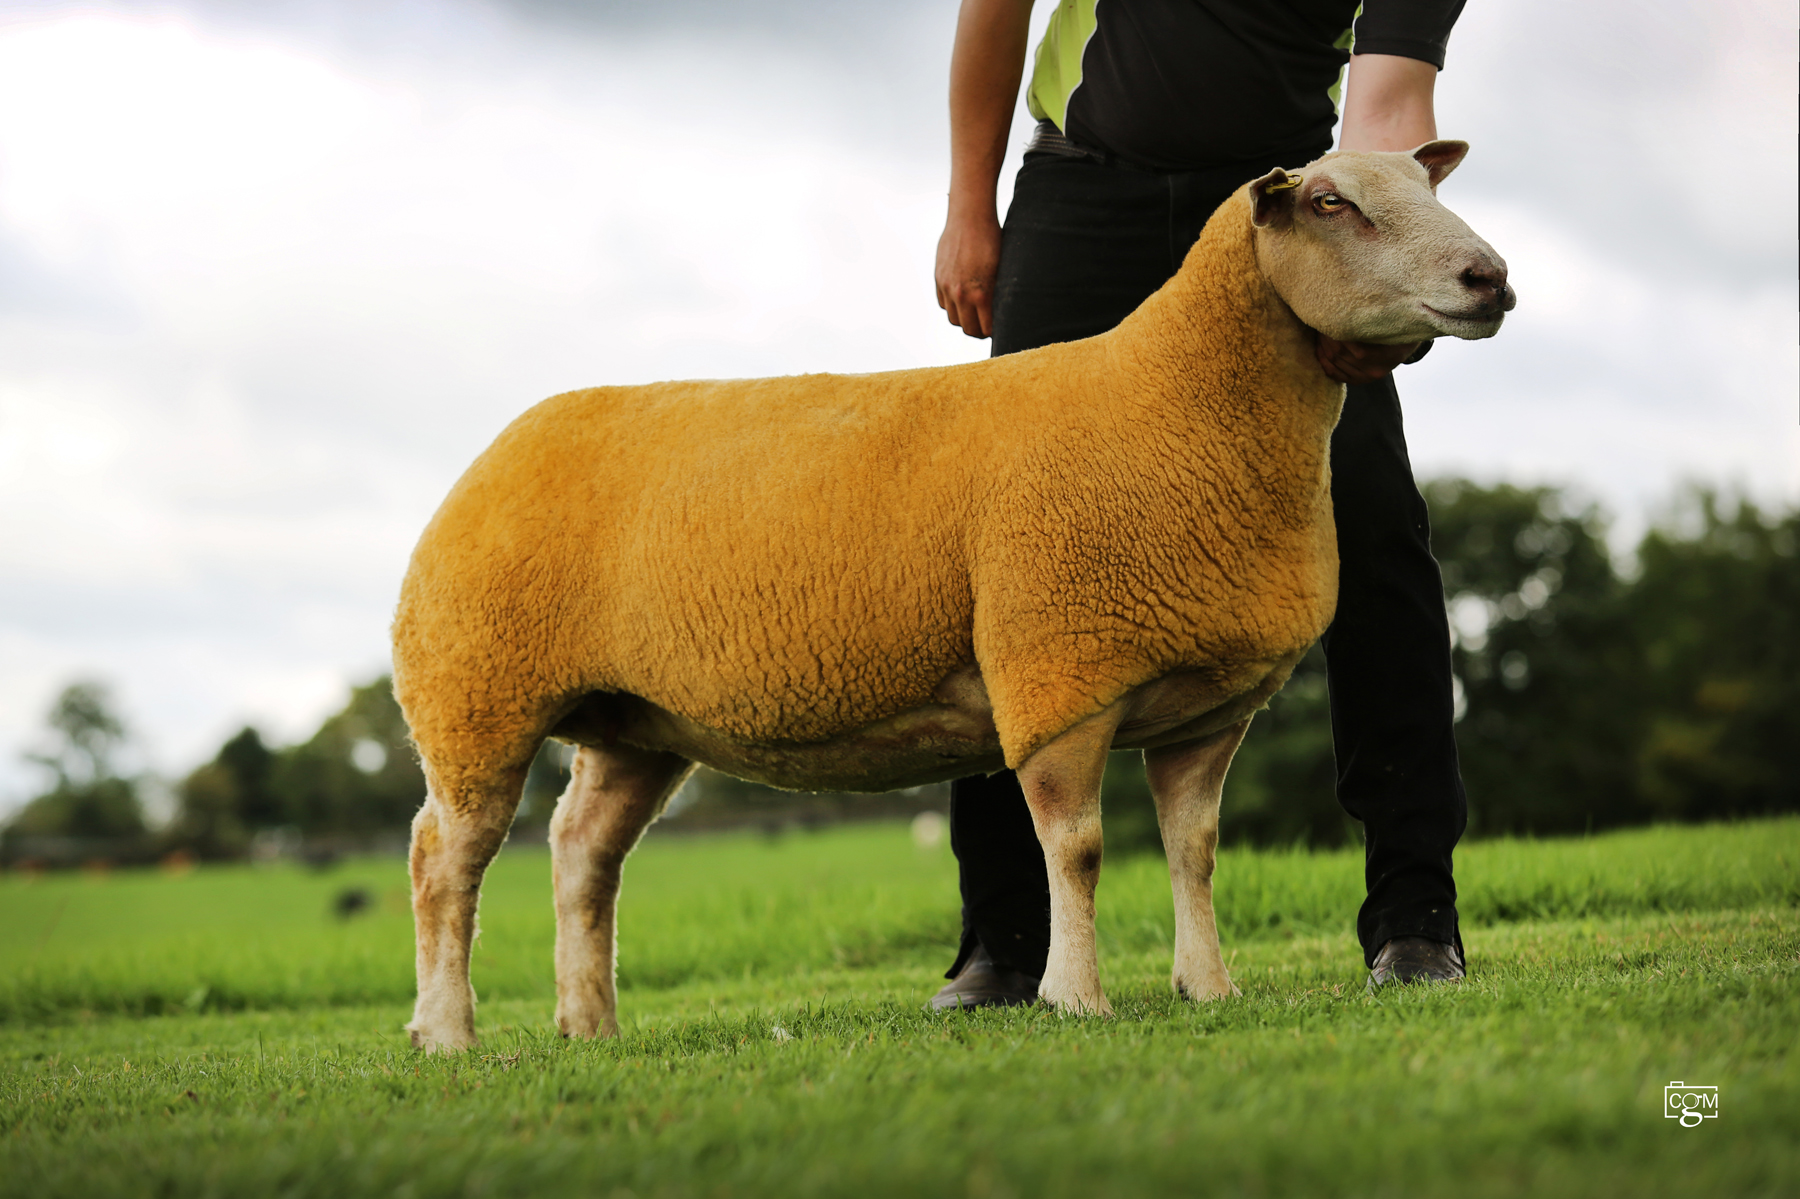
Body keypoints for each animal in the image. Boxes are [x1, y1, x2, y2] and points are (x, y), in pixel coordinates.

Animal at [392, 142, 1513, 1051]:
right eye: (1331, 203)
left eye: (1425, 188)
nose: (1490, 277)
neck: (1173, 402)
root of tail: (510, 436)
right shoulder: (1060, 667)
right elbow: (1080, 847)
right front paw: (1075, 997)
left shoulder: (1209, 703)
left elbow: (1193, 851)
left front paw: (1210, 987)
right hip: (476, 691)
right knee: (447, 857)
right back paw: (446, 1031)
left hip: (633, 718)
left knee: (582, 853)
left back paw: (590, 1025)